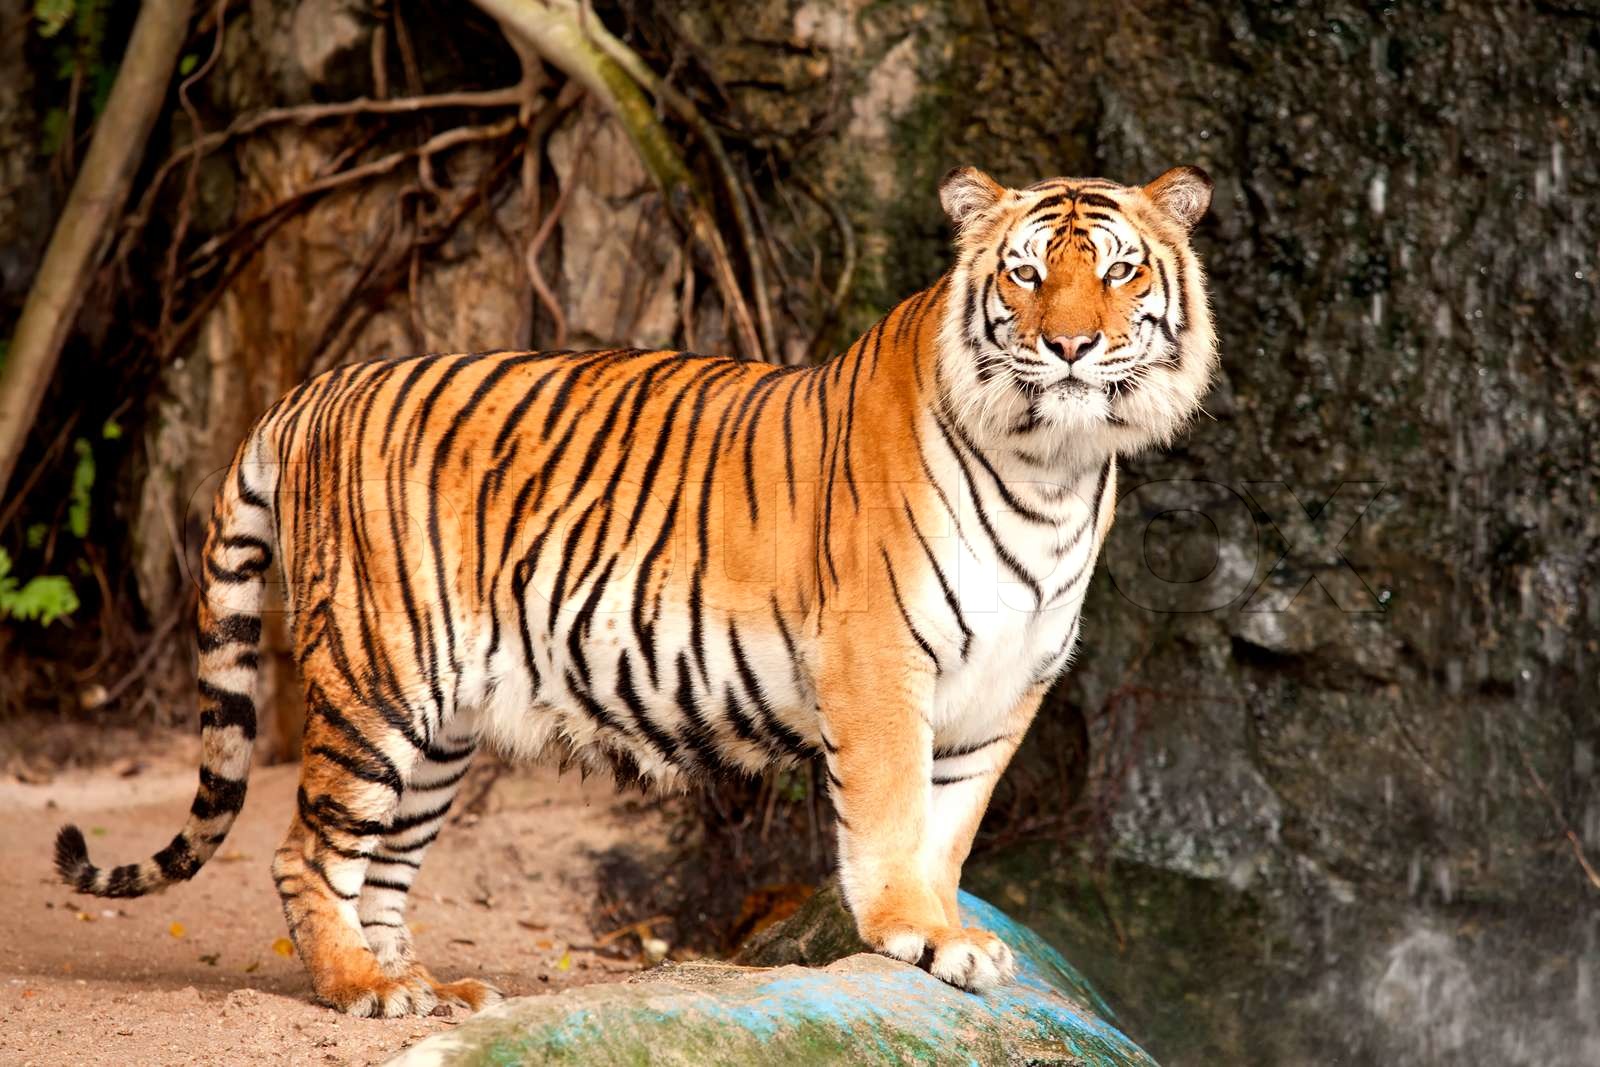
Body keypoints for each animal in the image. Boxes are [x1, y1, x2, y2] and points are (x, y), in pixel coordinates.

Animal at [54, 164, 1216, 1016]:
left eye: (1119, 273)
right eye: (1024, 274)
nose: (1070, 346)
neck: (1054, 465)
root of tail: (310, 390)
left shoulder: (1008, 682)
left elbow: (950, 824)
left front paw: (948, 932)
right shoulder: (880, 658)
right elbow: (892, 812)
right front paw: (915, 933)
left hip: (442, 727)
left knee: (381, 867)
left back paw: (420, 984)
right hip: (378, 676)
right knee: (307, 853)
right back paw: (360, 991)